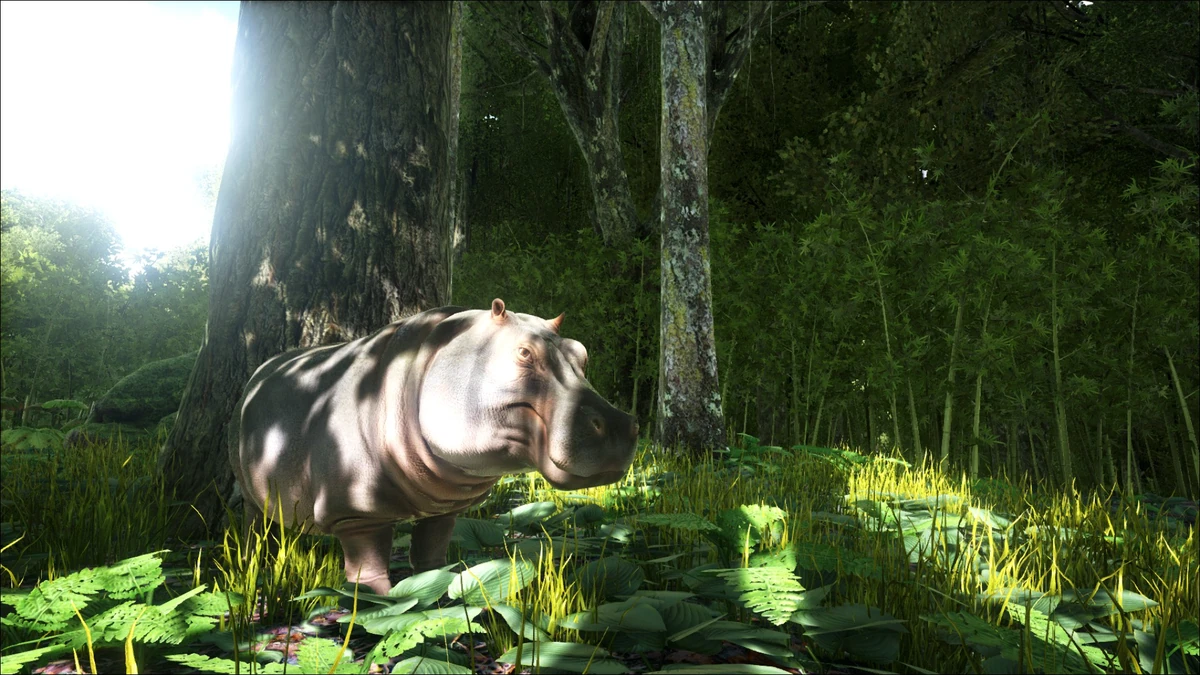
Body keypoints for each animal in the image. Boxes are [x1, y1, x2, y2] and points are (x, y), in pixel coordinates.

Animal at [230, 298, 638, 594]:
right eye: (524, 353)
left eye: (581, 352)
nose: (621, 425)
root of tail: (260, 372)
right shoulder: (357, 514)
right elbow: (368, 576)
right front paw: (377, 606)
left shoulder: (444, 509)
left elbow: (431, 563)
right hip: (252, 496)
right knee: (253, 529)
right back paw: (252, 564)